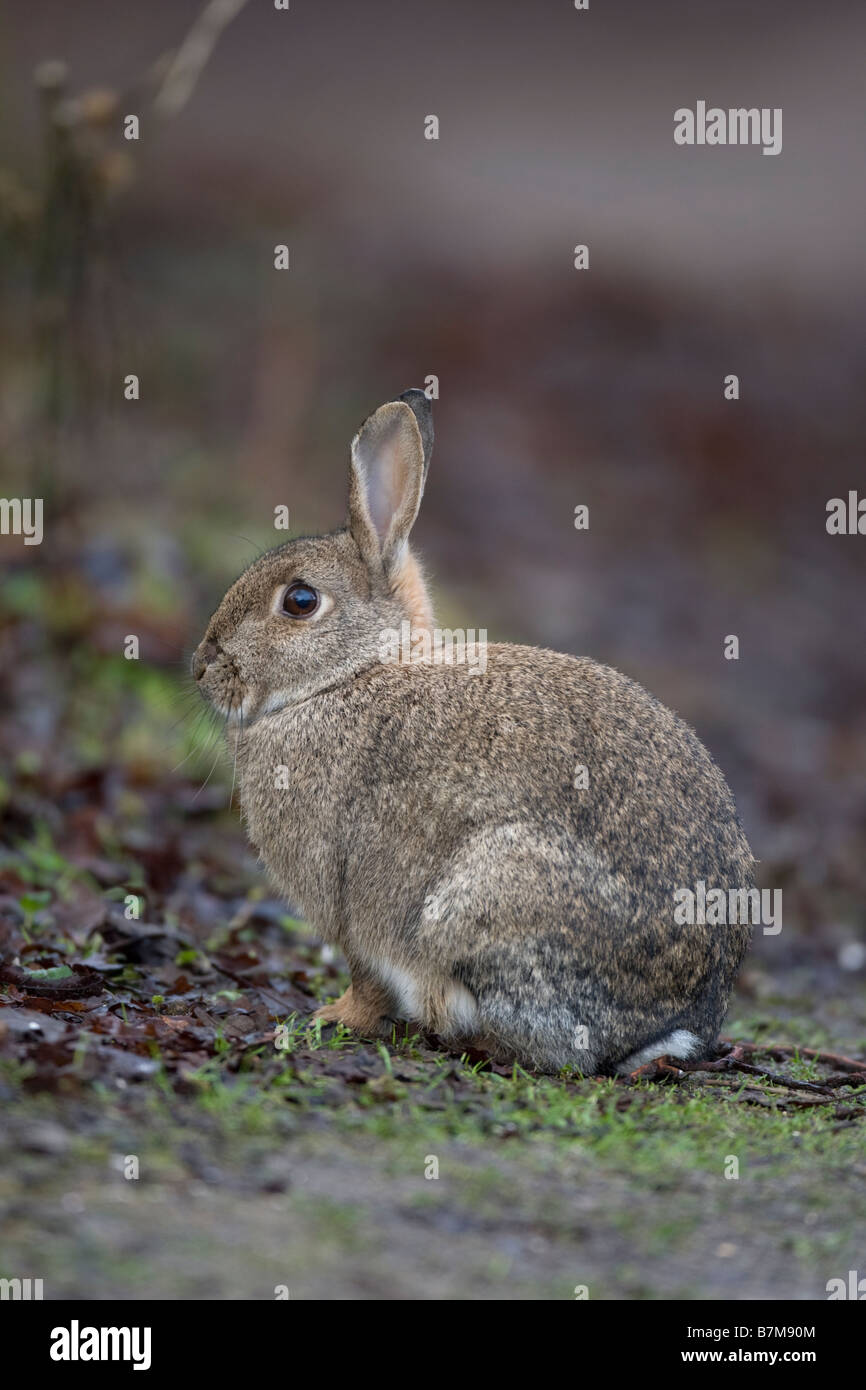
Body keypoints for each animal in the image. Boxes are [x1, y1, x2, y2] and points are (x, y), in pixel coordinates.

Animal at [192, 389, 754, 1075]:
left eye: (300, 601)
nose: (202, 668)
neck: (353, 674)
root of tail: (667, 1026)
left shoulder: (352, 907)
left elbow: (367, 982)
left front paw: (330, 1017)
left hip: (484, 897)